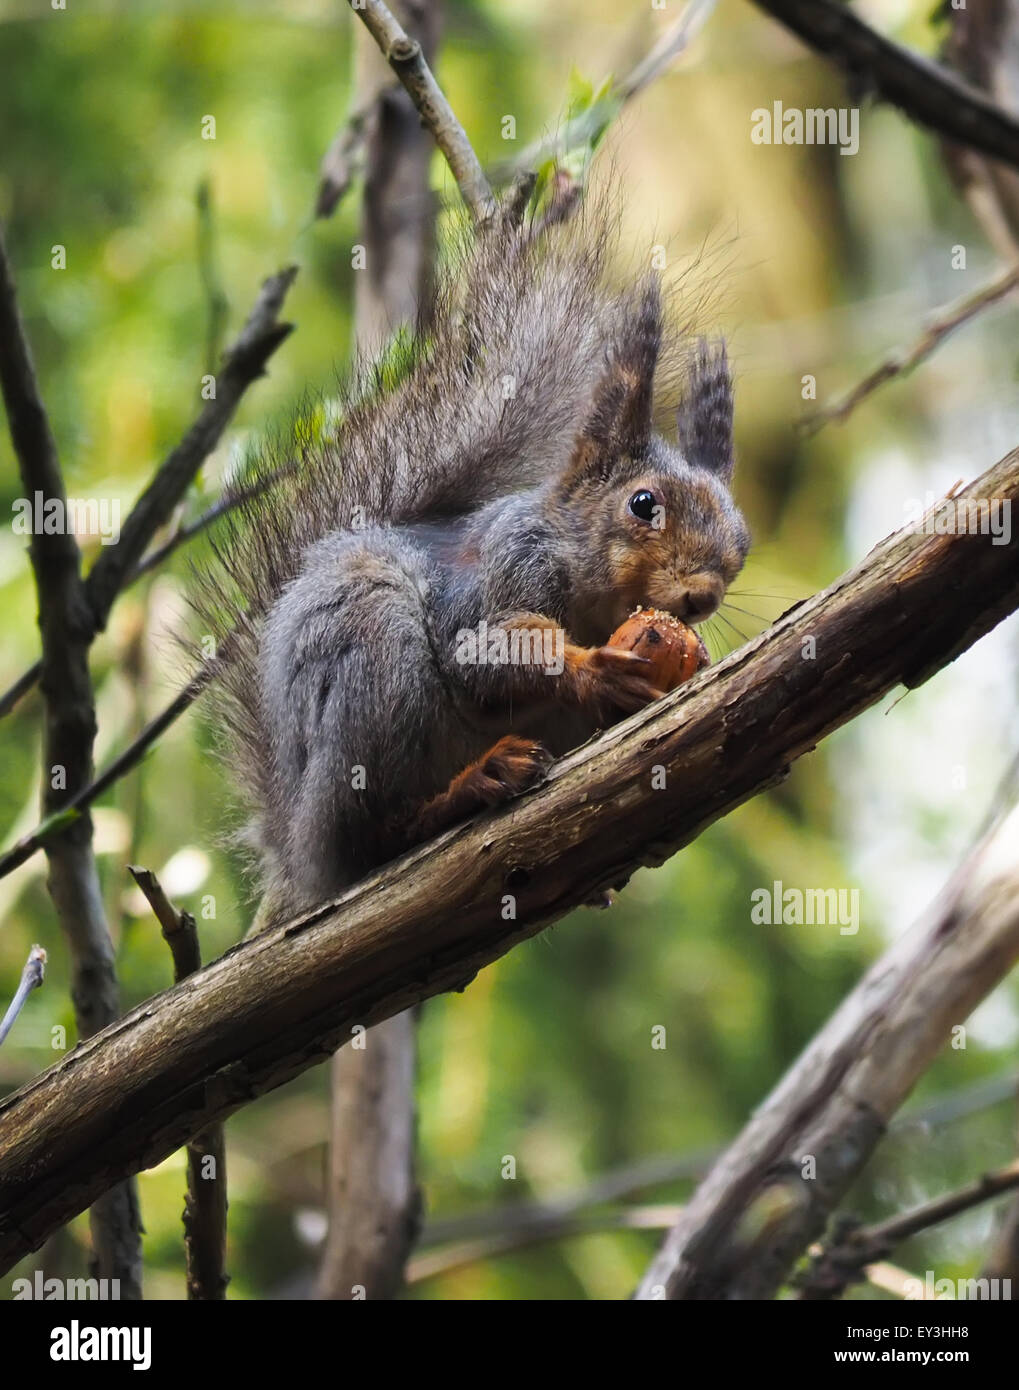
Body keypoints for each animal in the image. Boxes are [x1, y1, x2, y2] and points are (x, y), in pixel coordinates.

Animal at [193, 197, 750, 927]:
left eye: (742, 545)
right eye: (642, 504)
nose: (703, 596)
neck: (593, 597)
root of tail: (298, 850)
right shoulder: (502, 570)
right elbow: (477, 659)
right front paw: (589, 668)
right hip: (373, 665)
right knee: (376, 834)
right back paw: (468, 787)